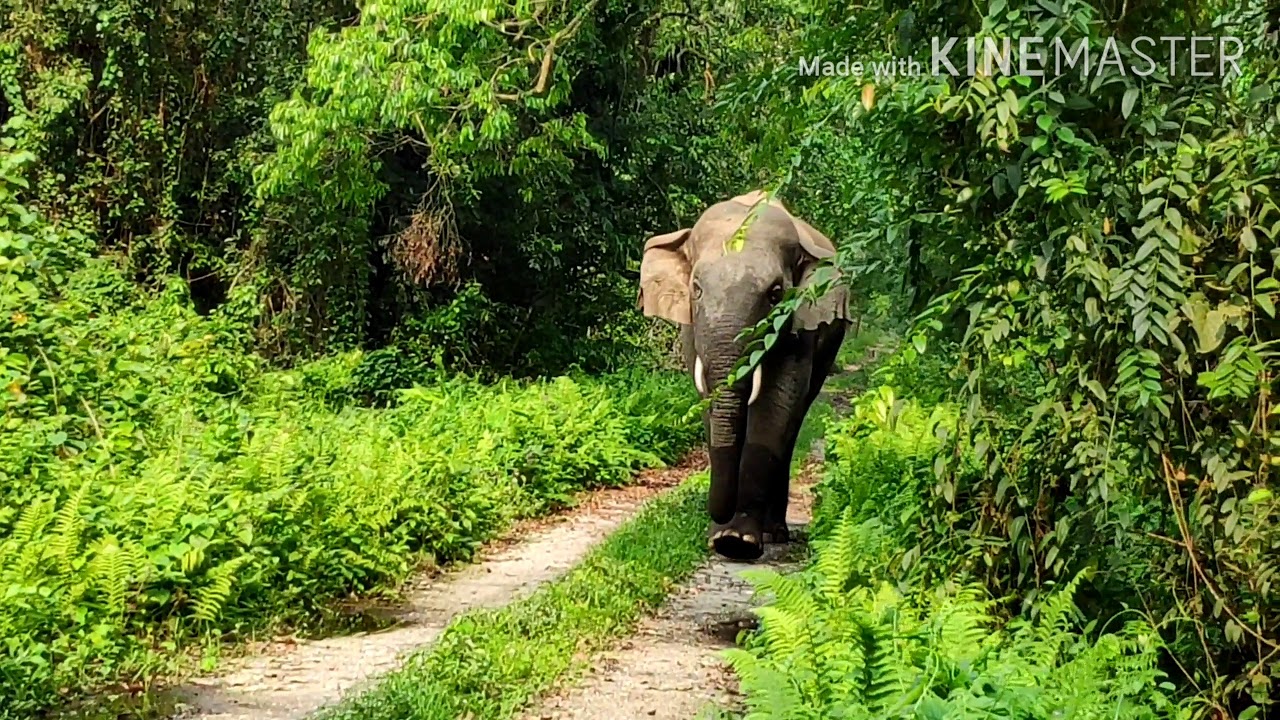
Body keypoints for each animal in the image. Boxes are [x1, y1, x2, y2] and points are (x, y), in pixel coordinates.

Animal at [637, 190, 849, 561]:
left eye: (776, 294)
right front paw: (721, 537)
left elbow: (774, 407)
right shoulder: (692, 330)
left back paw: (774, 532)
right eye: (696, 289)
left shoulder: (801, 325)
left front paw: (738, 541)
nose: (717, 519)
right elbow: (710, 404)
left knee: (793, 423)